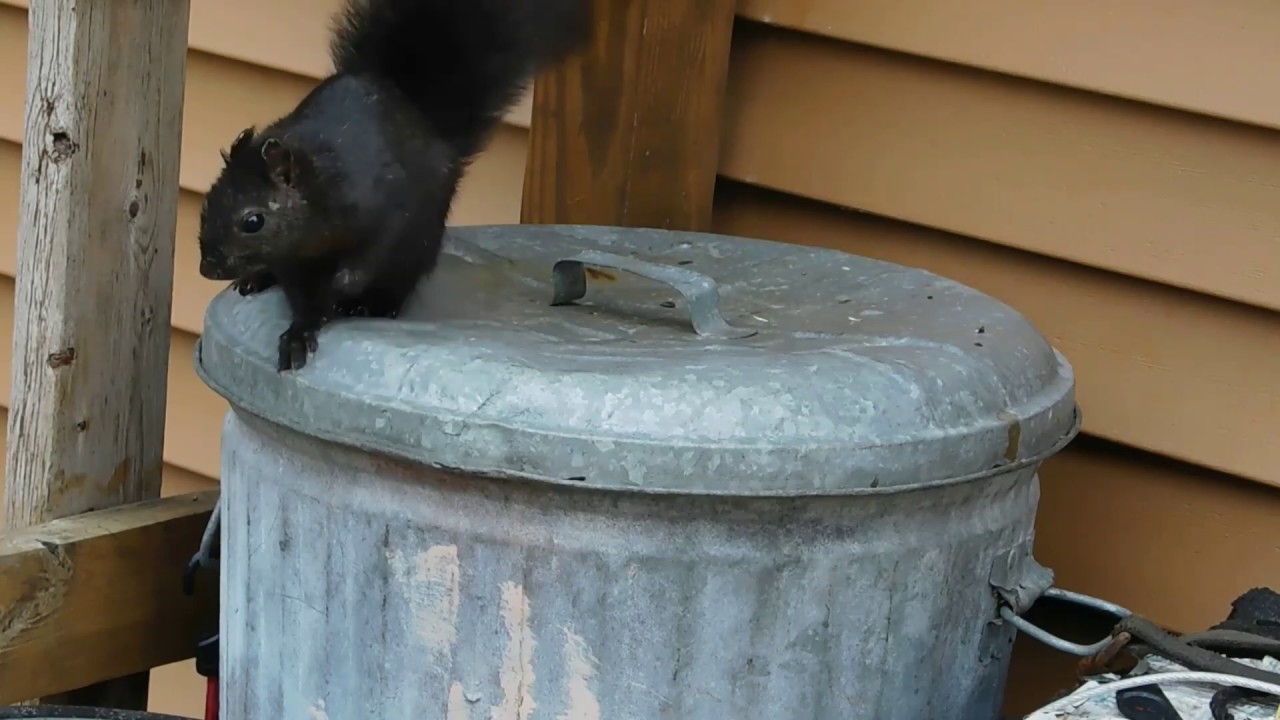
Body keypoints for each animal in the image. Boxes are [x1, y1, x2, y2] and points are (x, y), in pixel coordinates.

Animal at [197, 0, 593, 371]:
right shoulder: (295, 261)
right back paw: (259, 278)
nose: (207, 269)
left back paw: (374, 303)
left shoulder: (384, 206)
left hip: (419, 244)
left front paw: (345, 283)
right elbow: (305, 299)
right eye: (206, 205)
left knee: (399, 280)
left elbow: (374, 250)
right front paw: (300, 332)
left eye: (253, 221)